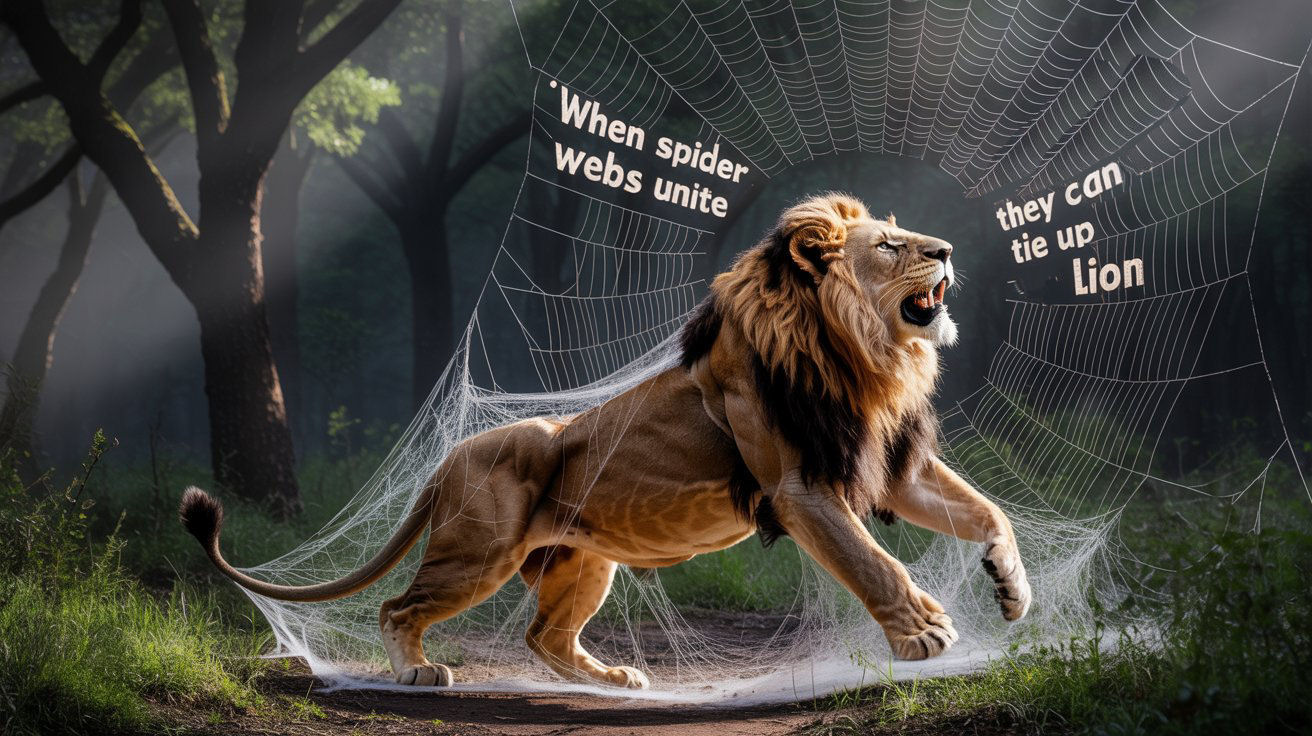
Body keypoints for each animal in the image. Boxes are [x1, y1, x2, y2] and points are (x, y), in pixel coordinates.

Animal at [180, 193, 1031, 690]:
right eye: (889, 245)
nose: (947, 250)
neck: (863, 352)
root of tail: (448, 455)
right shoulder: (800, 486)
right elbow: (873, 561)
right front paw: (926, 633)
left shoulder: (891, 470)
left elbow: (988, 511)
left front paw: (1011, 586)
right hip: (476, 552)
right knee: (399, 606)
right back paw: (420, 673)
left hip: (583, 563)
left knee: (541, 635)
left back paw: (609, 679)